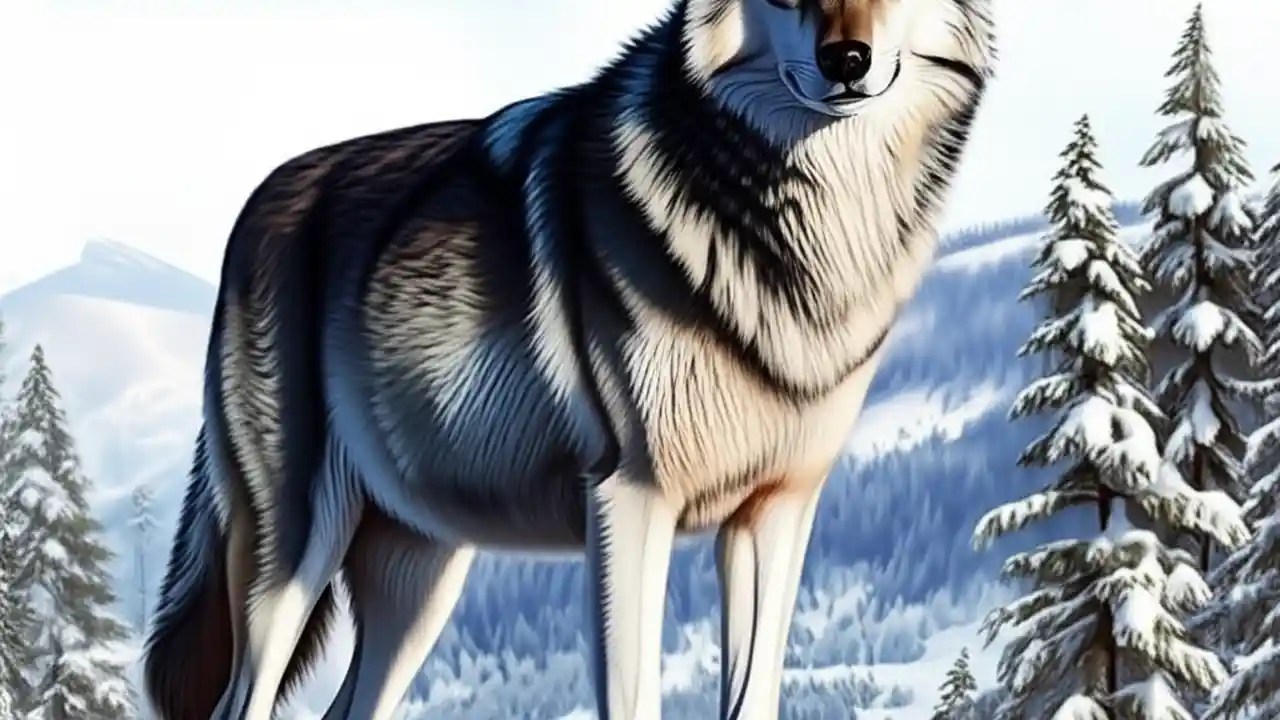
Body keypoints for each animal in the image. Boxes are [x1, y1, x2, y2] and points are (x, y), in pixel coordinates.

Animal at [142, 0, 995, 718]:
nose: (846, 59)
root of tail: (258, 201)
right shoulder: (630, 501)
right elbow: (635, 696)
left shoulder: (777, 510)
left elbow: (753, 695)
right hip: (293, 558)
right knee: (239, 702)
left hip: (420, 581)